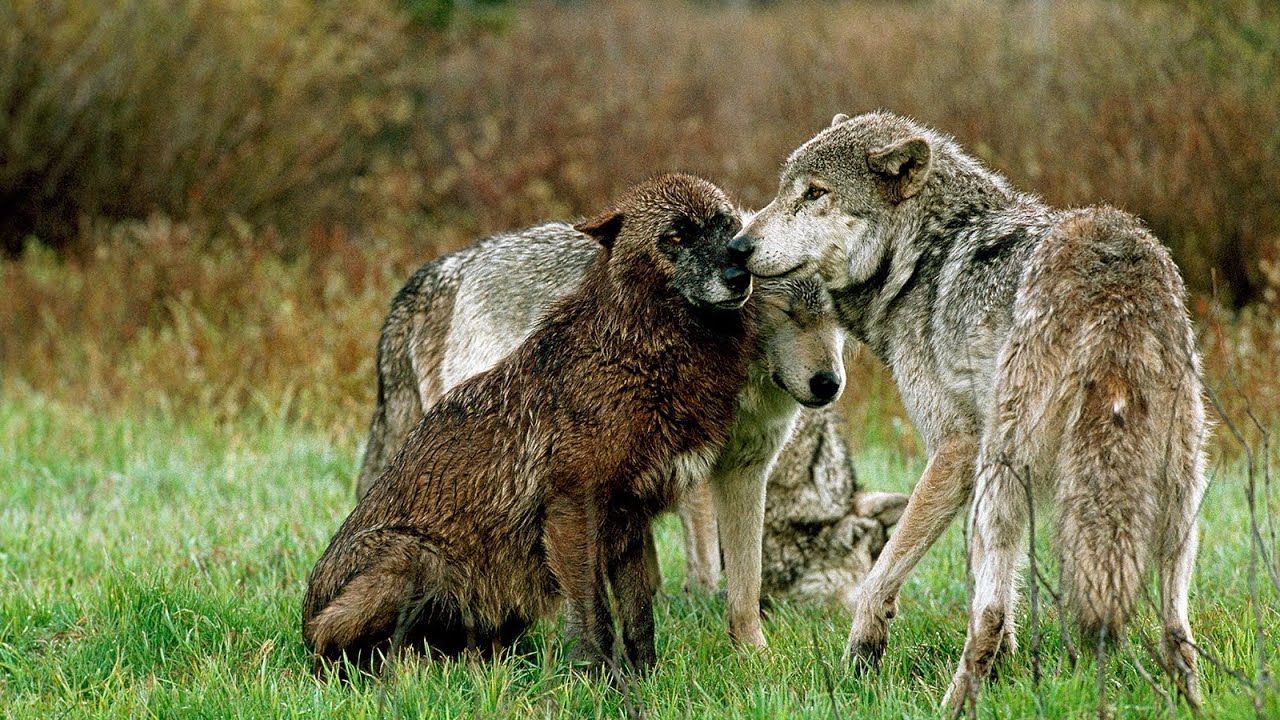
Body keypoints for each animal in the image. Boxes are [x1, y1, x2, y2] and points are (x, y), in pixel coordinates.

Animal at [303, 174, 755, 676]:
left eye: (727, 228)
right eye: (675, 238)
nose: (739, 276)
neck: (634, 356)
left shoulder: (630, 524)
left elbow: (640, 621)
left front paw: (646, 681)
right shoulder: (572, 514)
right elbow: (596, 618)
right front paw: (601, 683)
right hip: (417, 557)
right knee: (346, 653)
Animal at [355, 219, 908, 647]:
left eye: (837, 321)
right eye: (786, 312)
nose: (828, 383)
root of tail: (445, 268)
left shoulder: (739, 470)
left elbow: (741, 587)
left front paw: (750, 653)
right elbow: (705, 566)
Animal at [737, 111, 1208, 709]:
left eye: (815, 193)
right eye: (782, 190)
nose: (736, 245)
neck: (922, 259)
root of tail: (1113, 276)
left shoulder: (955, 449)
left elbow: (883, 576)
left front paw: (864, 650)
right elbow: (997, 586)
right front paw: (1007, 670)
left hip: (1004, 473)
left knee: (988, 616)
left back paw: (950, 708)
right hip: (1178, 498)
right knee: (1177, 631)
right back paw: (1195, 703)